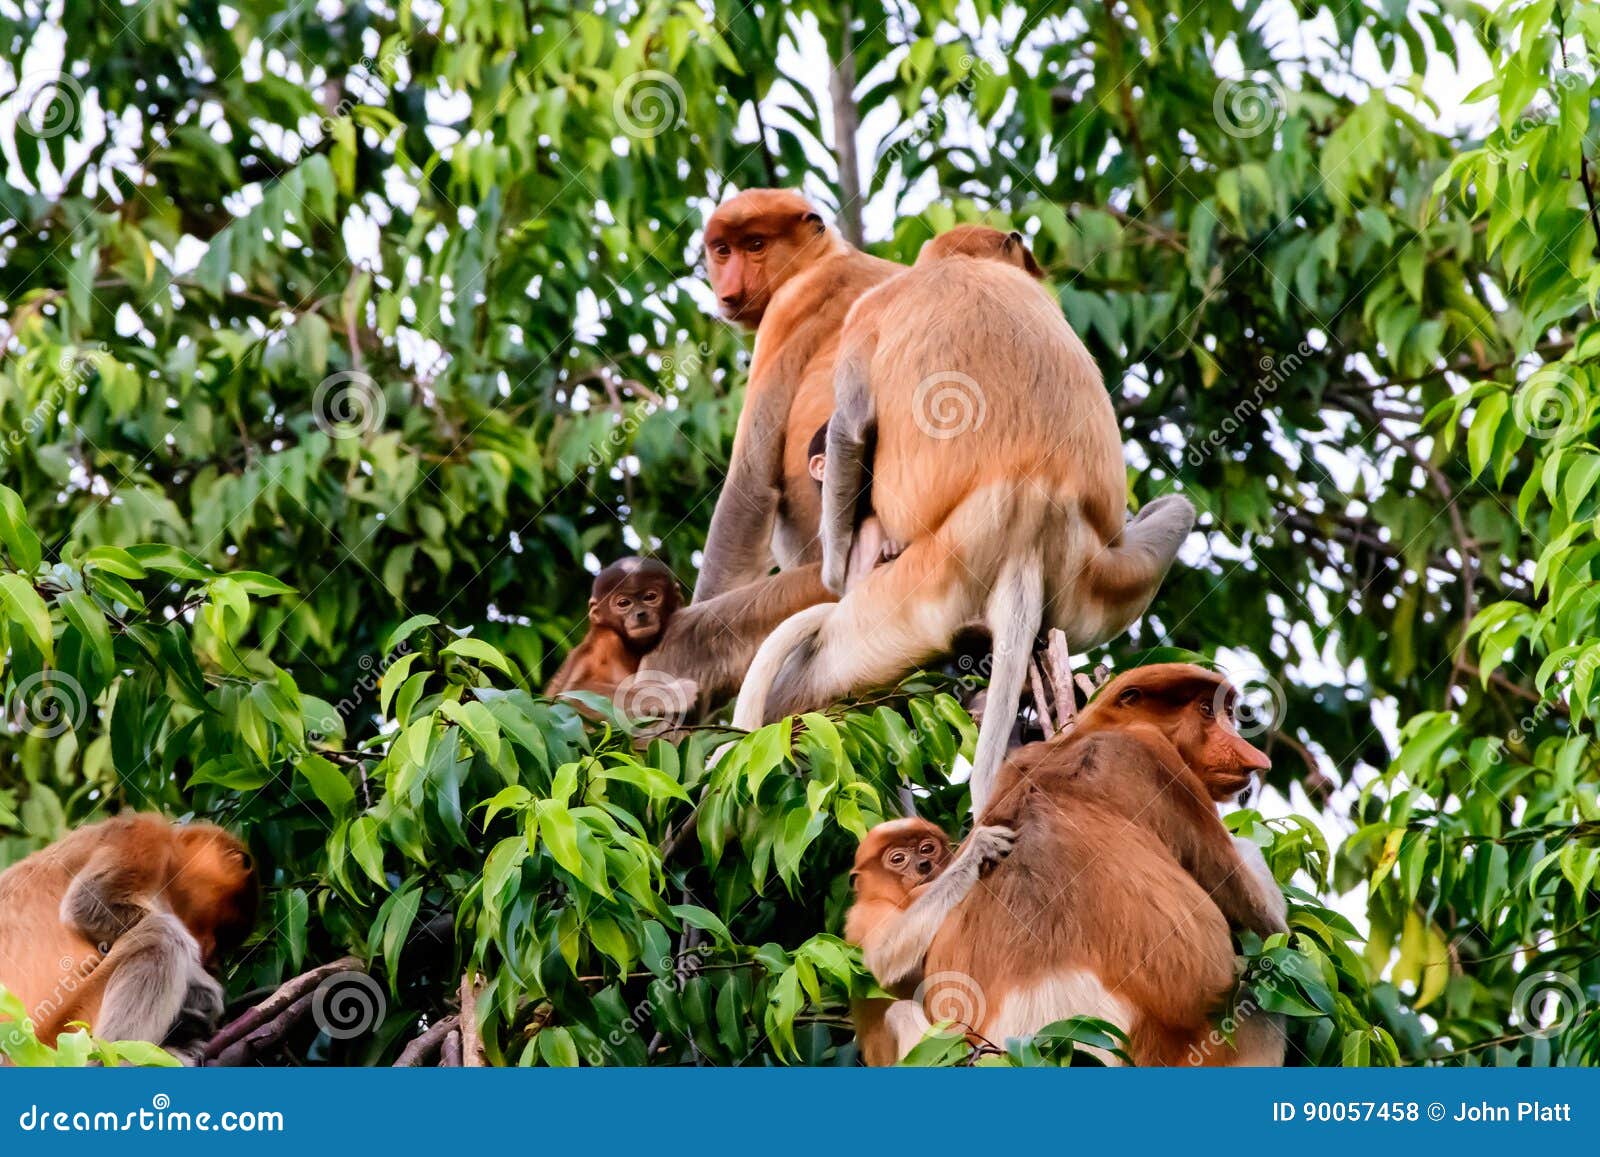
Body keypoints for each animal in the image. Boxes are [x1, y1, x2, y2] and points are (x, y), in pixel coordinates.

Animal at [0, 814, 258, 1063]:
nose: (212, 961)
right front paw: (204, 989)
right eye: (218, 934)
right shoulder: (141, 838)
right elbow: (89, 906)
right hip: (61, 1031)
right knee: (162, 936)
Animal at [734, 224, 1196, 813]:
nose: (1038, 271)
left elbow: (851, 428)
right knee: (1177, 509)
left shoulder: (866, 311)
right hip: (1100, 585)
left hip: (915, 597)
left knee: (821, 663)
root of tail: (1032, 519)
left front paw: (833, 570)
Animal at [842, 817, 1016, 1066]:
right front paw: (976, 849)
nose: (923, 864)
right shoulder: (866, 915)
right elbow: (882, 960)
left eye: (926, 848)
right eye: (898, 859)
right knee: (901, 1011)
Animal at [914, 664, 1288, 1066]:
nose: (1255, 760)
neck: (1095, 734)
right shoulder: (1160, 761)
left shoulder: (1025, 758)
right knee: (1261, 1002)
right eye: (1207, 710)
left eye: (1227, 713)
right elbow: (1266, 920)